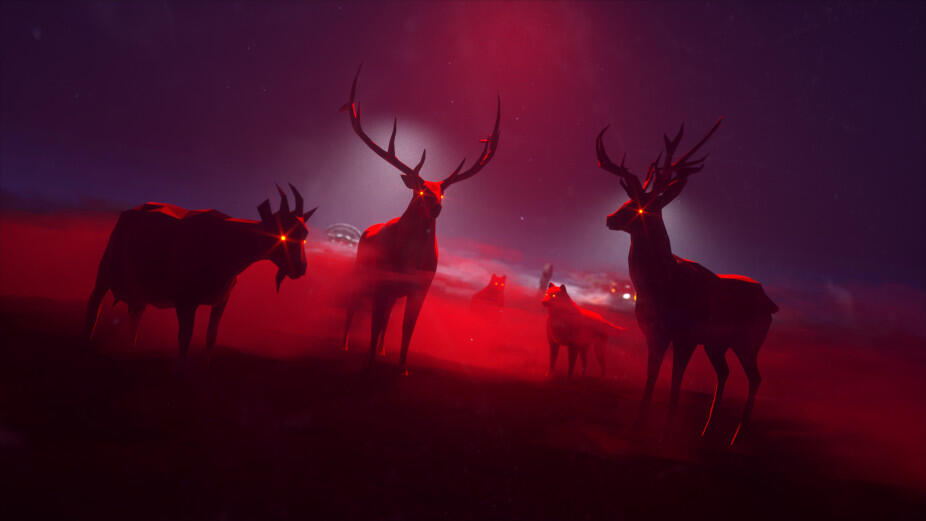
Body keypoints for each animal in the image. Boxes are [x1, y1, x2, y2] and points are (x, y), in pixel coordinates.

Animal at [85, 185, 317, 361]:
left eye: (304, 234)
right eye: (282, 235)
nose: (301, 268)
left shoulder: (221, 300)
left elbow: (211, 337)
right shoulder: (186, 302)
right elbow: (185, 339)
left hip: (140, 292)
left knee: (135, 315)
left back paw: (130, 348)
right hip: (105, 271)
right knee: (94, 304)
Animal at [339, 66, 500, 374]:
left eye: (442, 191)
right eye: (421, 190)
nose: (436, 207)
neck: (409, 261)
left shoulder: (421, 288)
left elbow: (407, 329)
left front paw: (402, 366)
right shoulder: (382, 280)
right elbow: (375, 322)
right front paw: (368, 362)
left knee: (387, 318)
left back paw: (383, 350)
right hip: (360, 270)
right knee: (354, 305)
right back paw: (345, 345)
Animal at [595, 118, 778, 445]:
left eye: (646, 206)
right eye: (628, 199)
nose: (609, 218)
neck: (662, 285)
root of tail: (771, 304)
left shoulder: (687, 334)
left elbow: (676, 378)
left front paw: (666, 431)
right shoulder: (653, 332)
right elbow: (652, 375)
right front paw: (638, 425)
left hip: (748, 341)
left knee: (755, 378)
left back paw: (736, 437)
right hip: (718, 344)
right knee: (725, 373)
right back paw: (706, 431)